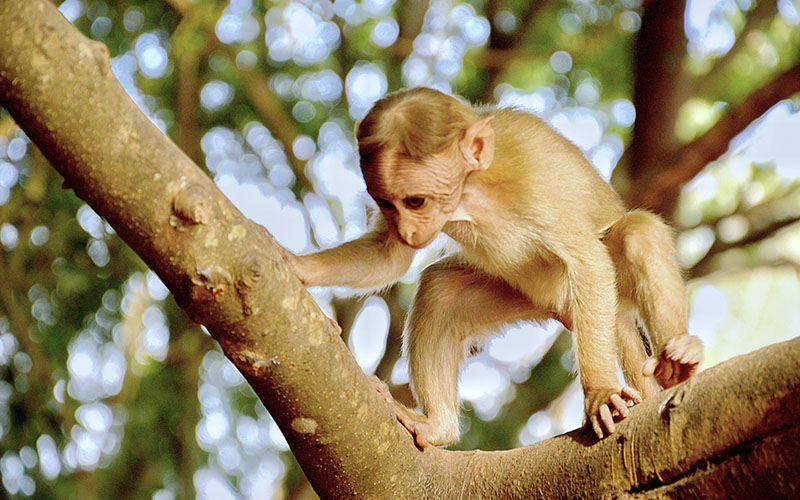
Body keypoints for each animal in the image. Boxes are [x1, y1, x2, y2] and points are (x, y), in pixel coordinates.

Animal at [280, 87, 703, 447]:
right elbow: (391, 258)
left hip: (602, 296)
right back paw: (437, 426)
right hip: (538, 298)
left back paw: (678, 358)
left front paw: (599, 391)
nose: (408, 230)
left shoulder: (536, 187)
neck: (473, 192)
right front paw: (295, 265)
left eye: (415, 201)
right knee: (441, 290)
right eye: (387, 203)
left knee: (640, 233)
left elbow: (588, 260)